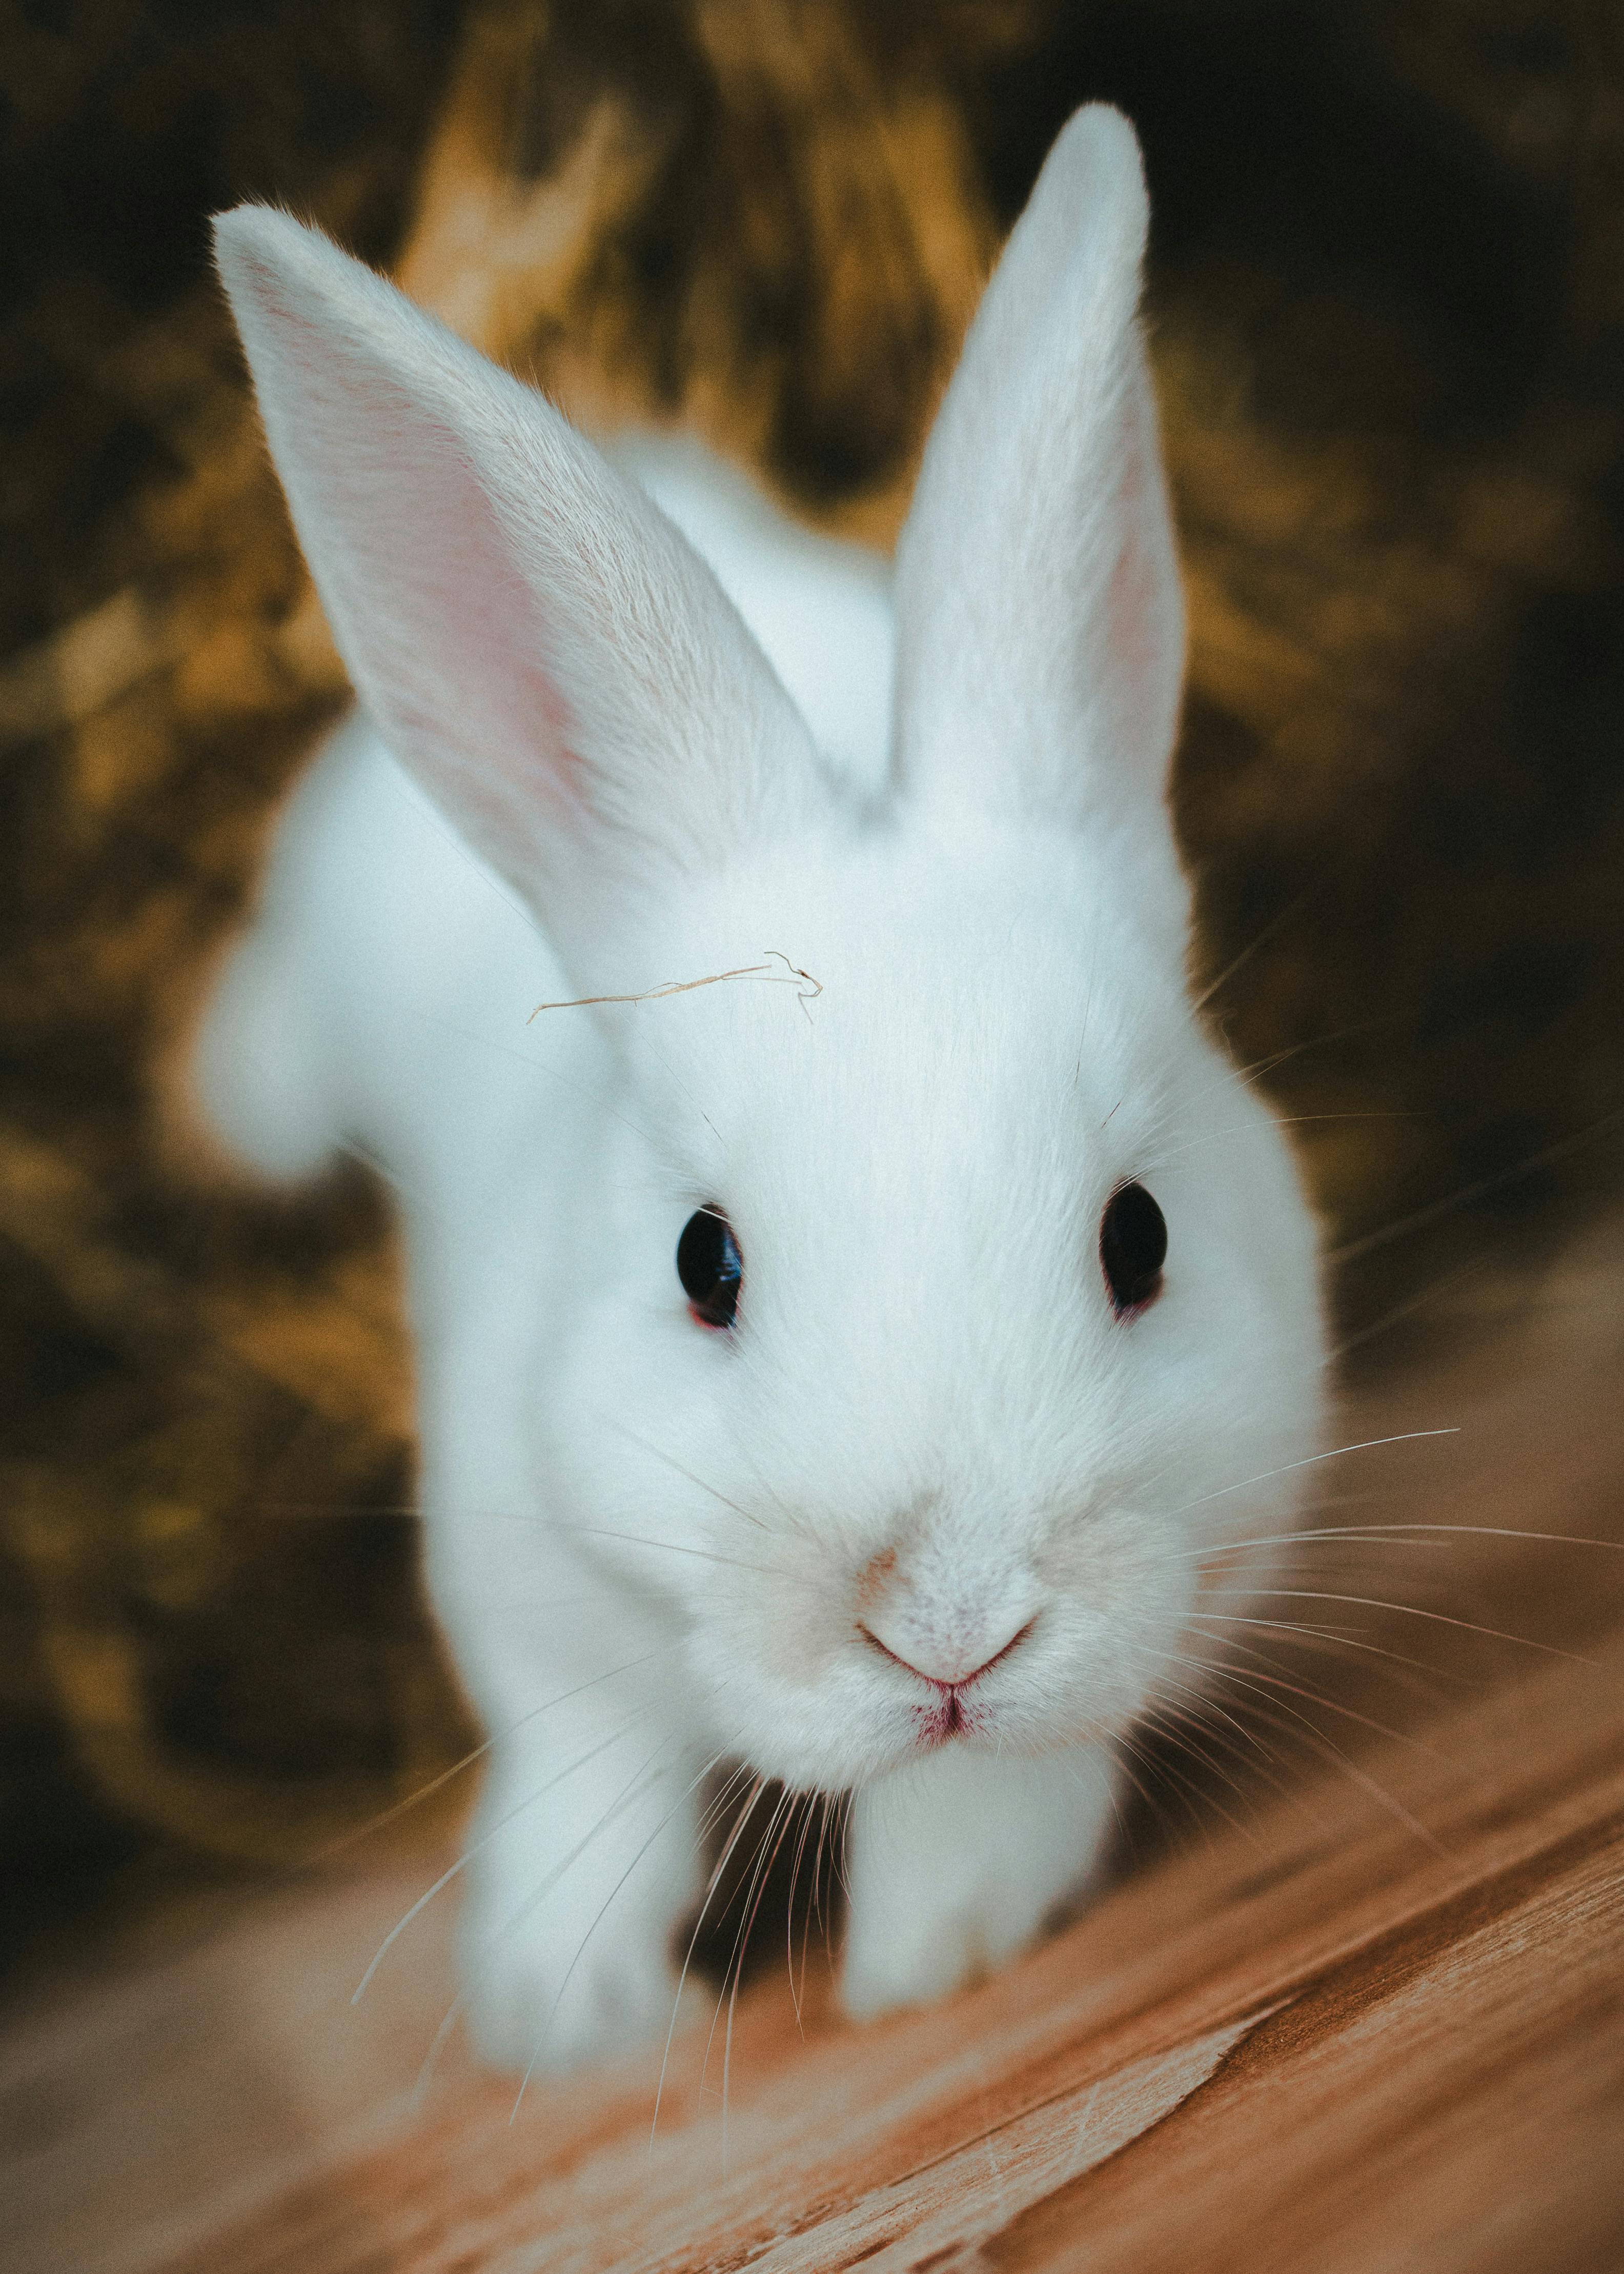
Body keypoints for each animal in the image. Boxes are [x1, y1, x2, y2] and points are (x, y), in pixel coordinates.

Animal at [192, 104, 1326, 2075]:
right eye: (701, 1263)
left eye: (1141, 1237)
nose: (949, 1630)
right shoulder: (523, 1596)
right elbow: (586, 1776)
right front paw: (565, 2015)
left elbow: (1007, 1789)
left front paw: (929, 1949)